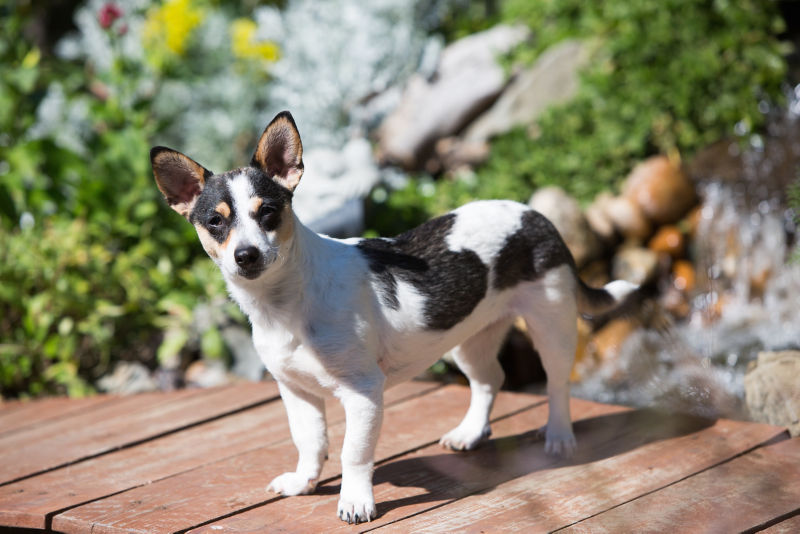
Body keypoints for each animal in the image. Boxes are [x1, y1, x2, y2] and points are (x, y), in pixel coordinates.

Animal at [150, 111, 636, 524]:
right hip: (468, 337)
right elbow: (310, 442)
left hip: (552, 326)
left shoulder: (363, 393)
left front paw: (355, 502)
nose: (246, 255)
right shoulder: (296, 391)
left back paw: (559, 435)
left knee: (556, 384)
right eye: (215, 222)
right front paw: (304, 482)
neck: (283, 303)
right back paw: (470, 432)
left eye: (268, 213)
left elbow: (353, 453)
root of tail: (536, 215)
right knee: (490, 379)